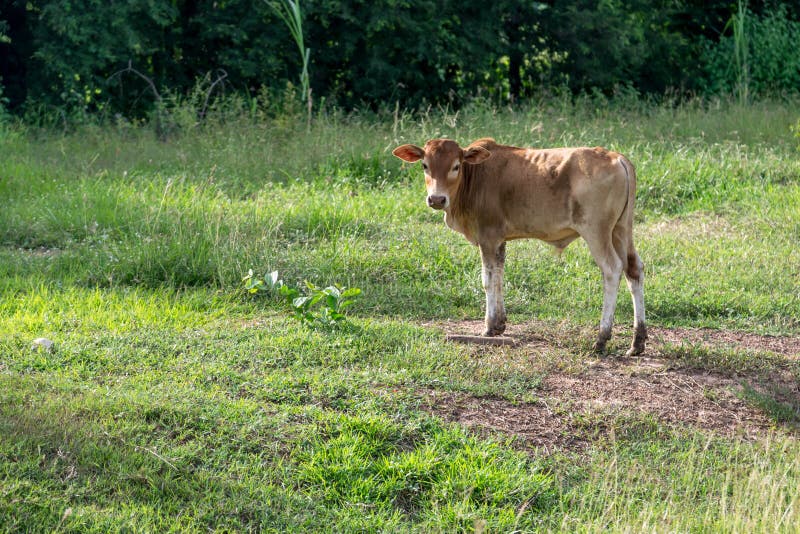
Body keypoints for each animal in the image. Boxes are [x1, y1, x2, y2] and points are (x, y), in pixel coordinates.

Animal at [393, 138, 646, 356]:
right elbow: (499, 276)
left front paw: (488, 326)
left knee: (612, 270)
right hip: (621, 229)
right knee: (634, 269)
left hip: (596, 231)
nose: (436, 199)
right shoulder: (499, 240)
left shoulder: (488, 237)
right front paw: (499, 323)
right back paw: (638, 341)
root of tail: (615, 157)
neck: (475, 177)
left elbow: (487, 280)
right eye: (425, 165)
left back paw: (602, 337)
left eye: (456, 166)